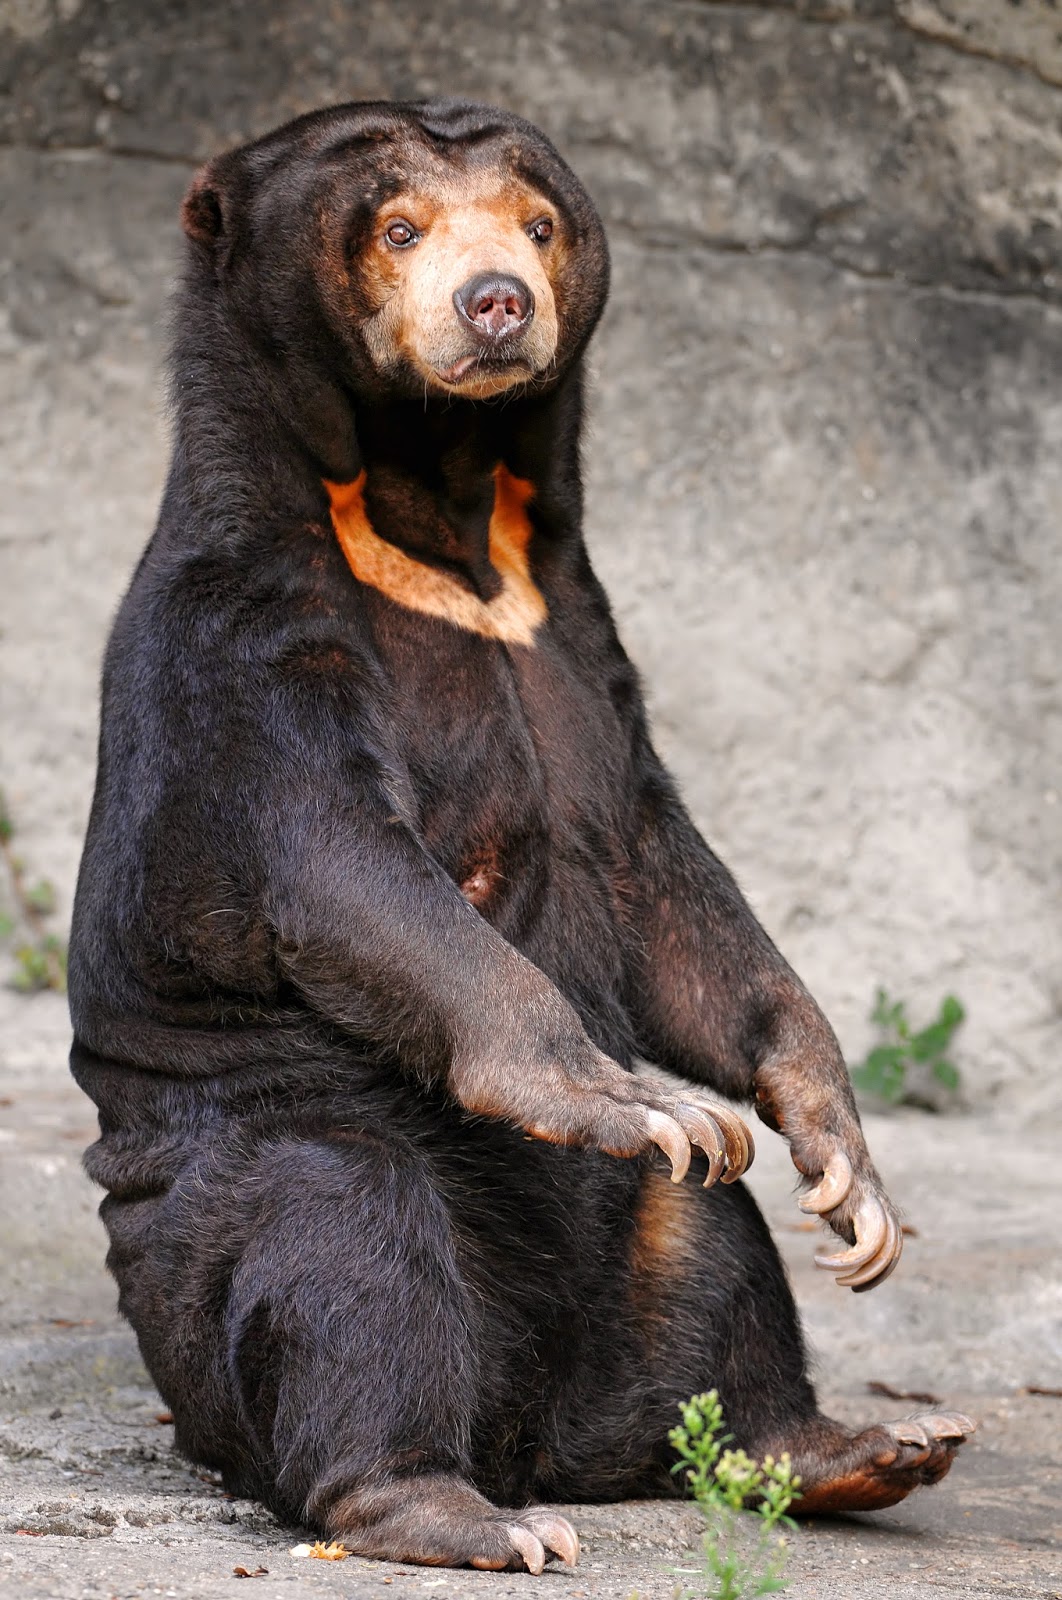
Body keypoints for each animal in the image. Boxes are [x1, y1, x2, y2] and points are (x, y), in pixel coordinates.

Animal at [68, 99, 973, 1572]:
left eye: (538, 223)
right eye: (396, 228)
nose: (495, 300)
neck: (439, 521)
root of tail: (532, 1430)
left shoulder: (576, 633)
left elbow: (666, 881)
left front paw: (847, 1176)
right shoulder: (245, 631)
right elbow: (343, 868)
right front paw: (631, 1097)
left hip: (636, 1262)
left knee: (714, 1247)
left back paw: (848, 1445)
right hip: (233, 1199)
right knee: (349, 1253)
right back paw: (455, 1510)